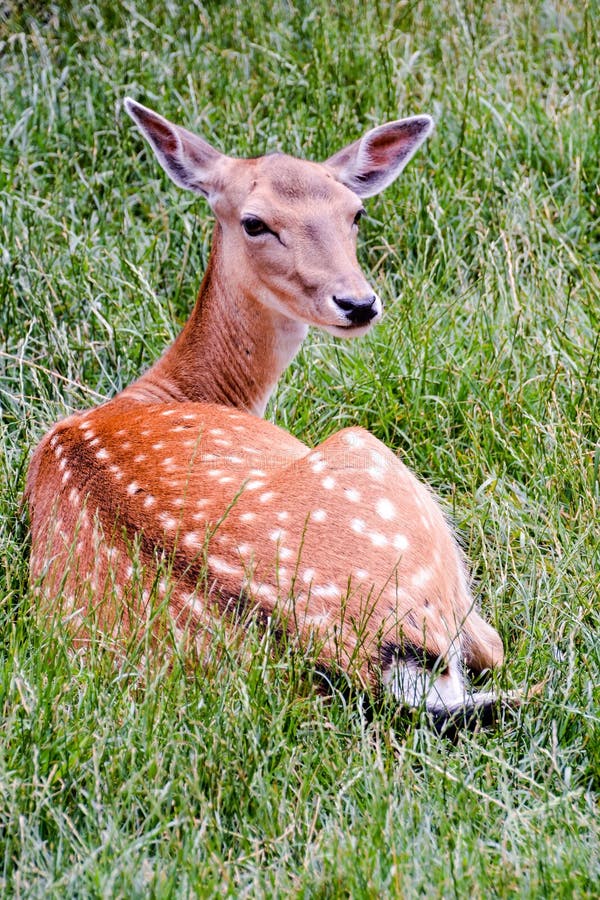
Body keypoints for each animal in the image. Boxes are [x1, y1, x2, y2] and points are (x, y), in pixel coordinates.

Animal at [25, 98, 508, 726]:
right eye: (255, 223)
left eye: (355, 213)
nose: (359, 303)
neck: (168, 388)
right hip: (370, 457)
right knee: (491, 644)